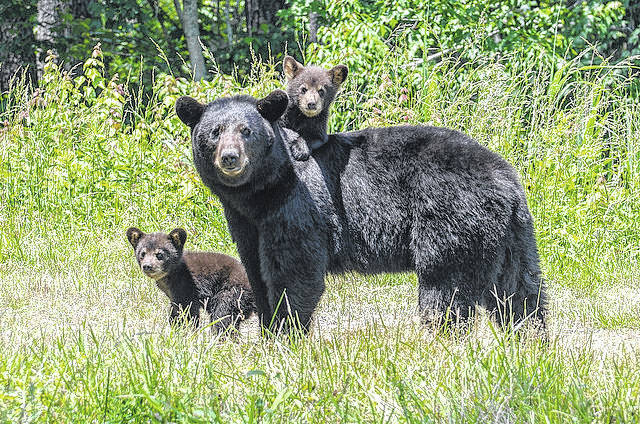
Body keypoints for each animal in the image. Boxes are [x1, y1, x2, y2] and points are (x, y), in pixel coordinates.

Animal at [126, 227, 256, 333]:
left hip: (232, 293)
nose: (147, 266)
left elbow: (190, 313)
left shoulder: (188, 288)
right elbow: (175, 312)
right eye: (142, 253)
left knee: (222, 317)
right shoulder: (174, 296)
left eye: (159, 254)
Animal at [175, 90, 547, 335]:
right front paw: (269, 331)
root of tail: (504, 175)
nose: (230, 157)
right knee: (518, 288)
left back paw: (440, 338)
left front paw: (286, 333)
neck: (262, 194)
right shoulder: (245, 222)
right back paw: (530, 339)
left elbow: (293, 270)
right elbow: (255, 268)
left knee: (445, 287)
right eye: (214, 132)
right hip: (511, 231)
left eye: (246, 131)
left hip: (451, 216)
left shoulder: (298, 206)